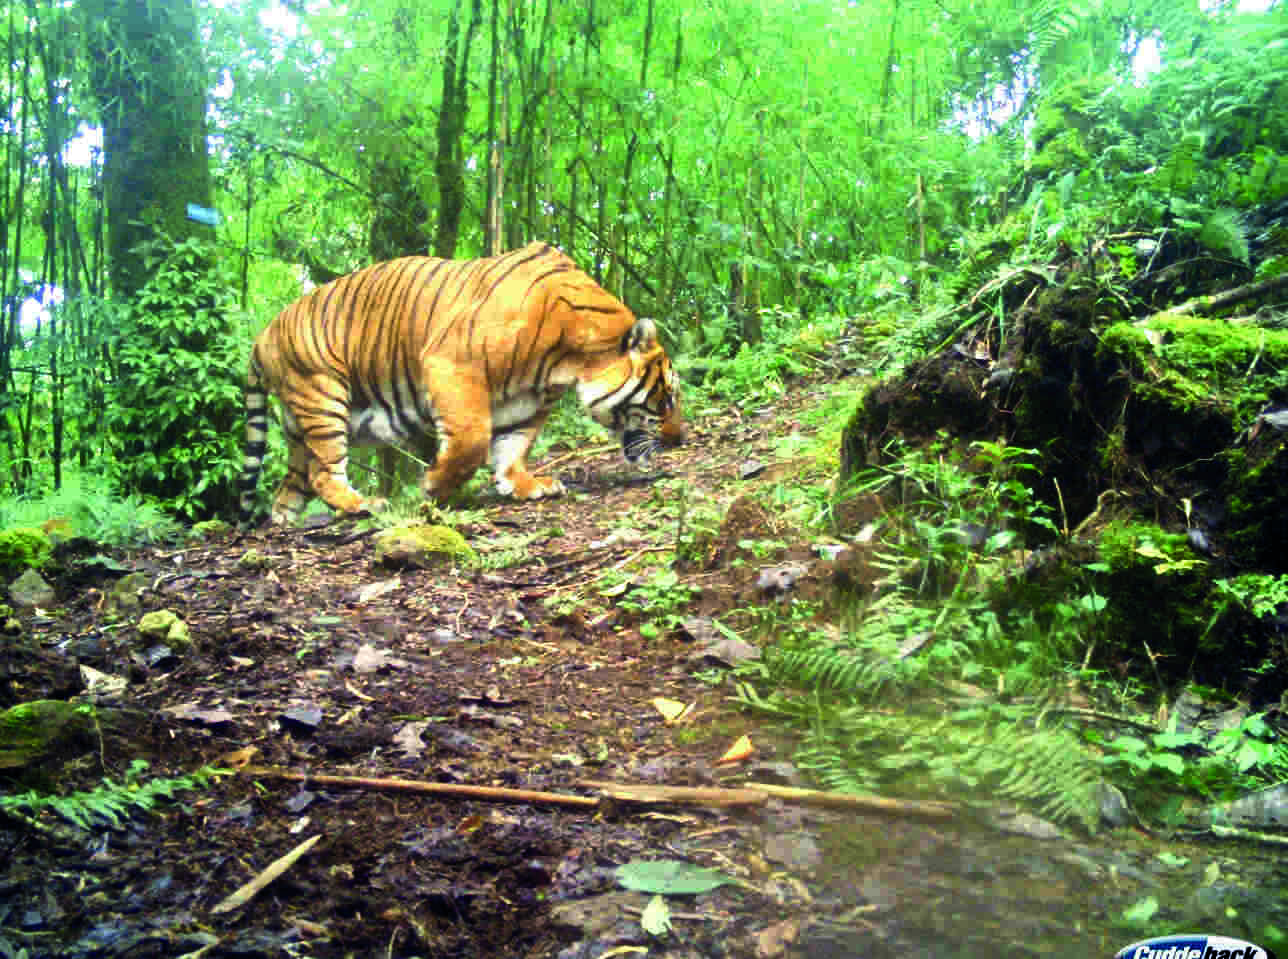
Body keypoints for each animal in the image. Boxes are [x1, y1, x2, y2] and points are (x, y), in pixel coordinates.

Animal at [238, 241, 684, 525]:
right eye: (665, 399)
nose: (680, 440)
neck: (571, 360)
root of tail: (262, 336)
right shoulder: (452, 364)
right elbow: (472, 438)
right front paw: (433, 487)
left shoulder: (529, 402)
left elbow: (513, 446)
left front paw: (523, 485)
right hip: (323, 397)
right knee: (323, 472)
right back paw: (361, 504)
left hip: (301, 427)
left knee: (292, 484)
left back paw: (283, 522)